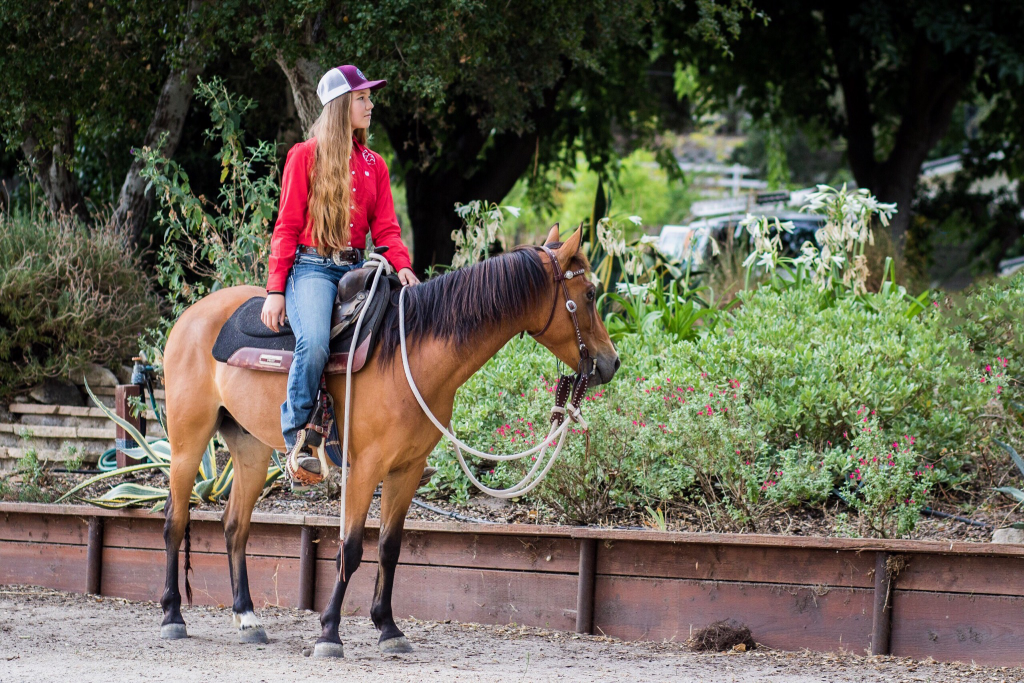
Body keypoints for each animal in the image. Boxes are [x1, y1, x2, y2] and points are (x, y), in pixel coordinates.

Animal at [158, 225, 620, 656]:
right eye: (590, 294)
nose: (611, 362)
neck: (408, 352)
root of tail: (190, 315)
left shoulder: (407, 468)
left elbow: (390, 547)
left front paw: (388, 628)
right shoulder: (365, 468)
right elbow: (350, 548)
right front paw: (329, 632)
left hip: (249, 448)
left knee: (235, 525)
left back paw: (247, 618)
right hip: (186, 442)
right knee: (175, 520)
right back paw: (172, 615)